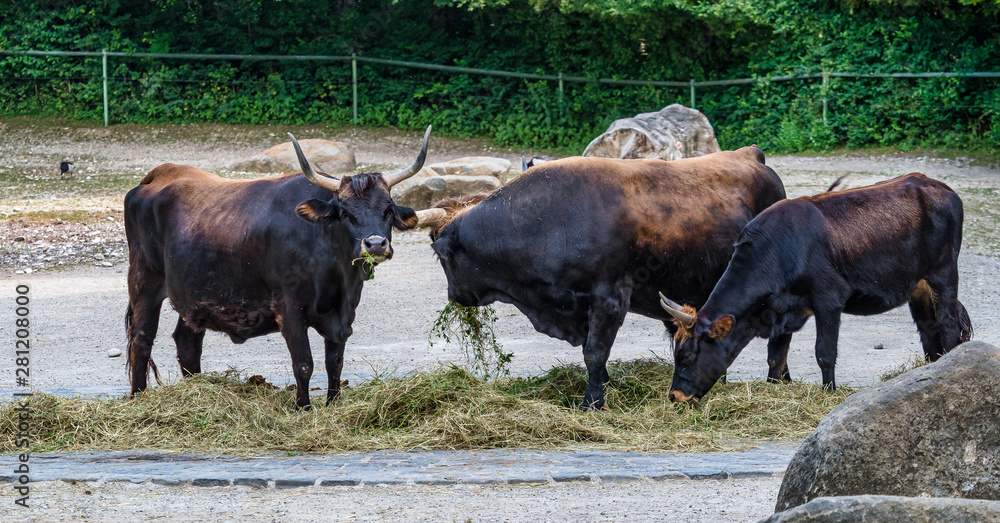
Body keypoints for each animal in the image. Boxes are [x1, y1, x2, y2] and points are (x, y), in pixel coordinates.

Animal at [124, 126, 431, 409]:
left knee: (187, 342)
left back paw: (197, 391)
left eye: (388, 209)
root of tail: (161, 173)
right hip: (144, 280)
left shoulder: (343, 313)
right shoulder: (290, 308)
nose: (375, 244)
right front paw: (303, 408)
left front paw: (332, 404)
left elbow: (335, 362)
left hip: (194, 295)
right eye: (344, 212)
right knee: (142, 338)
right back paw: (137, 397)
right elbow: (304, 363)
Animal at [413, 147, 787, 409]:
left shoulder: (609, 299)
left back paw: (779, 382)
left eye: (441, 255)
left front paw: (591, 403)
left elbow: (595, 352)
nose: (455, 295)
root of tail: (751, 155)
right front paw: (604, 388)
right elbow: (595, 353)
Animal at [659, 173, 974, 403]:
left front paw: (828, 392)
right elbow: (775, 357)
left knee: (947, 327)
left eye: (686, 357)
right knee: (929, 330)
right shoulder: (780, 308)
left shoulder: (829, 299)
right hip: (918, 287)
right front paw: (774, 387)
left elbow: (824, 352)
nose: (675, 396)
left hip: (943, 276)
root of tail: (938, 186)